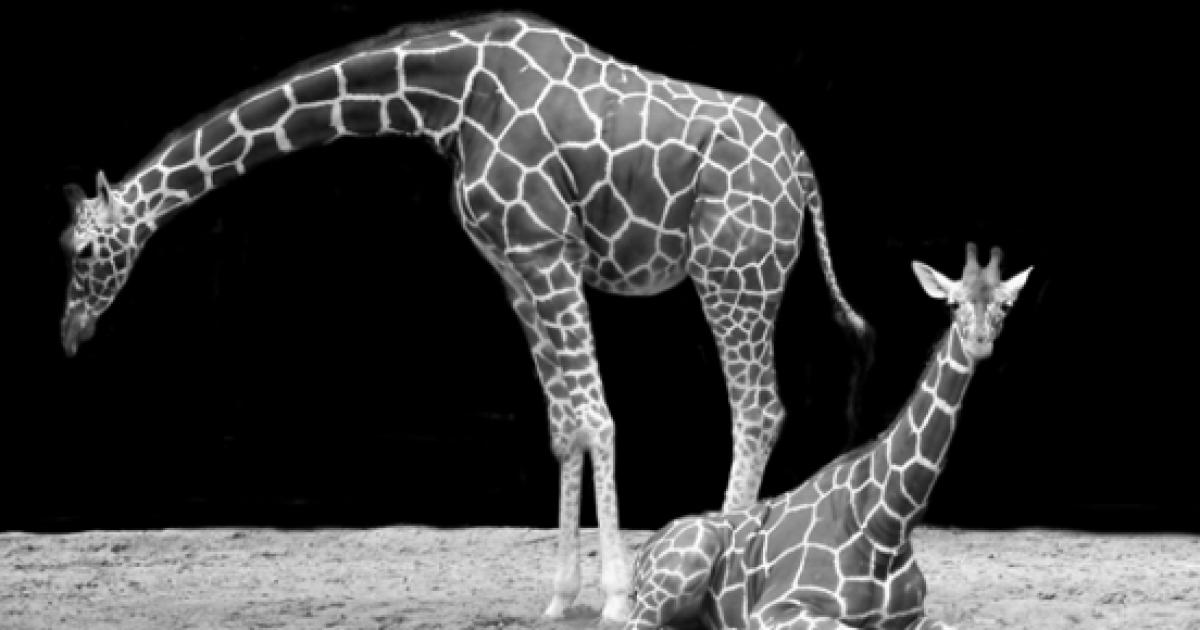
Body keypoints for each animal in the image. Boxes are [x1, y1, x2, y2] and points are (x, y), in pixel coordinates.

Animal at [56, 12, 872, 621]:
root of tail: (803, 168)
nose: (69, 334)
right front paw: (560, 596)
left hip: (734, 272)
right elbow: (564, 424)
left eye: (86, 248)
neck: (448, 99)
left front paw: (612, 598)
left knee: (759, 407)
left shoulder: (548, 251)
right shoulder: (515, 268)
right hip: (739, 275)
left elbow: (599, 416)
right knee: (755, 406)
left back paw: (727, 571)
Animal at [625, 242, 1033, 629]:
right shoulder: (776, 609)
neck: (887, 525)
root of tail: (645, 550)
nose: (979, 342)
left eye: (1005, 304)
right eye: (952, 303)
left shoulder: (910, 617)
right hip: (677, 576)